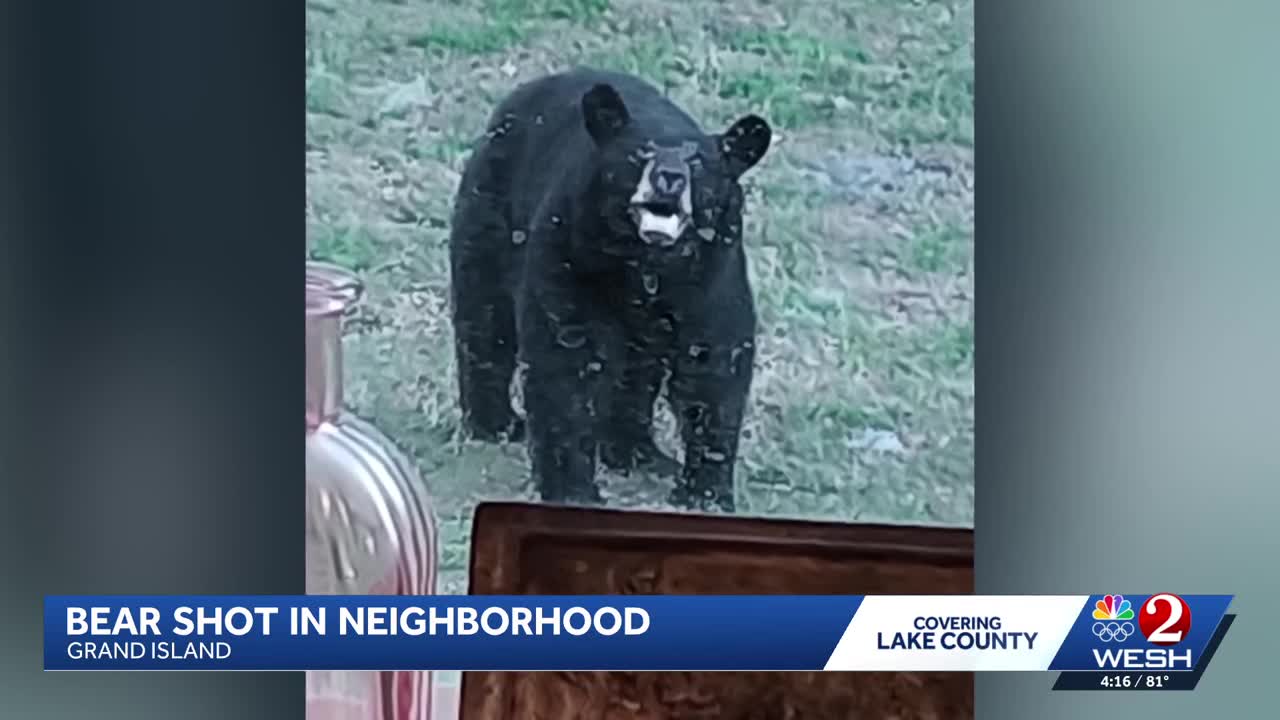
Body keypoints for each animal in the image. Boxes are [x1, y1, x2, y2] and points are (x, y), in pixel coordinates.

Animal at [448, 68, 771, 513]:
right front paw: (572, 490)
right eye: (640, 154)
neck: (647, 267)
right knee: (484, 320)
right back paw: (496, 423)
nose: (669, 179)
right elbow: (566, 361)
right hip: (489, 215)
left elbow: (715, 366)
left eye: (698, 162)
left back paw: (639, 454)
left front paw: (705, 494)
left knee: (635, 376)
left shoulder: (713, 277)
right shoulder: (569, 256)